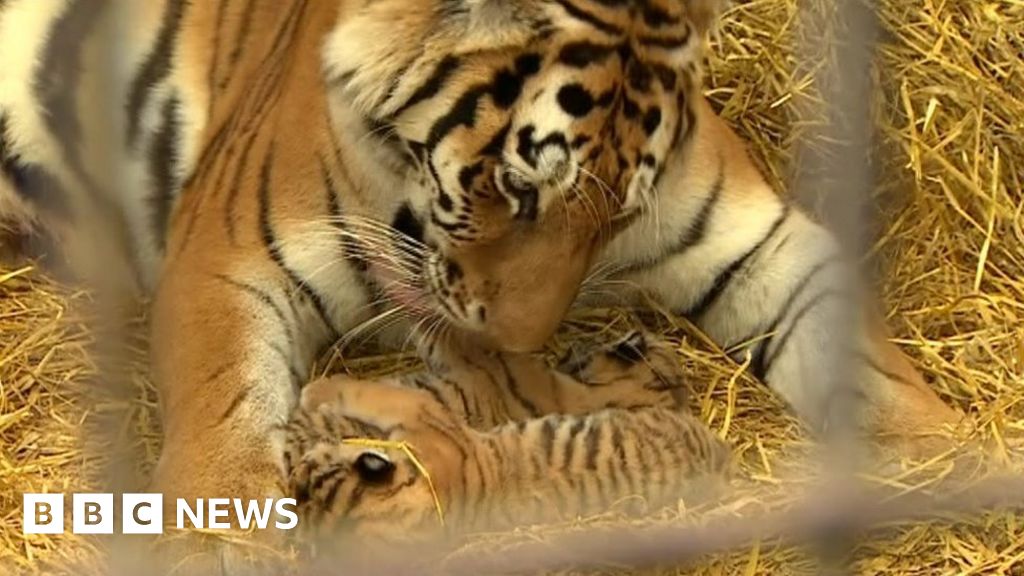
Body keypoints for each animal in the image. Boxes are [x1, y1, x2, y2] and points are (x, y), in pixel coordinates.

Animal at [0, 0, 964, 516]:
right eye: (515, 184)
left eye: (621, 211)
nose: (516, 349)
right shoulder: (230, 261)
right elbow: (222, 426)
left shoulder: (761, 239)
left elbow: (878, 375)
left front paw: (963, 465)